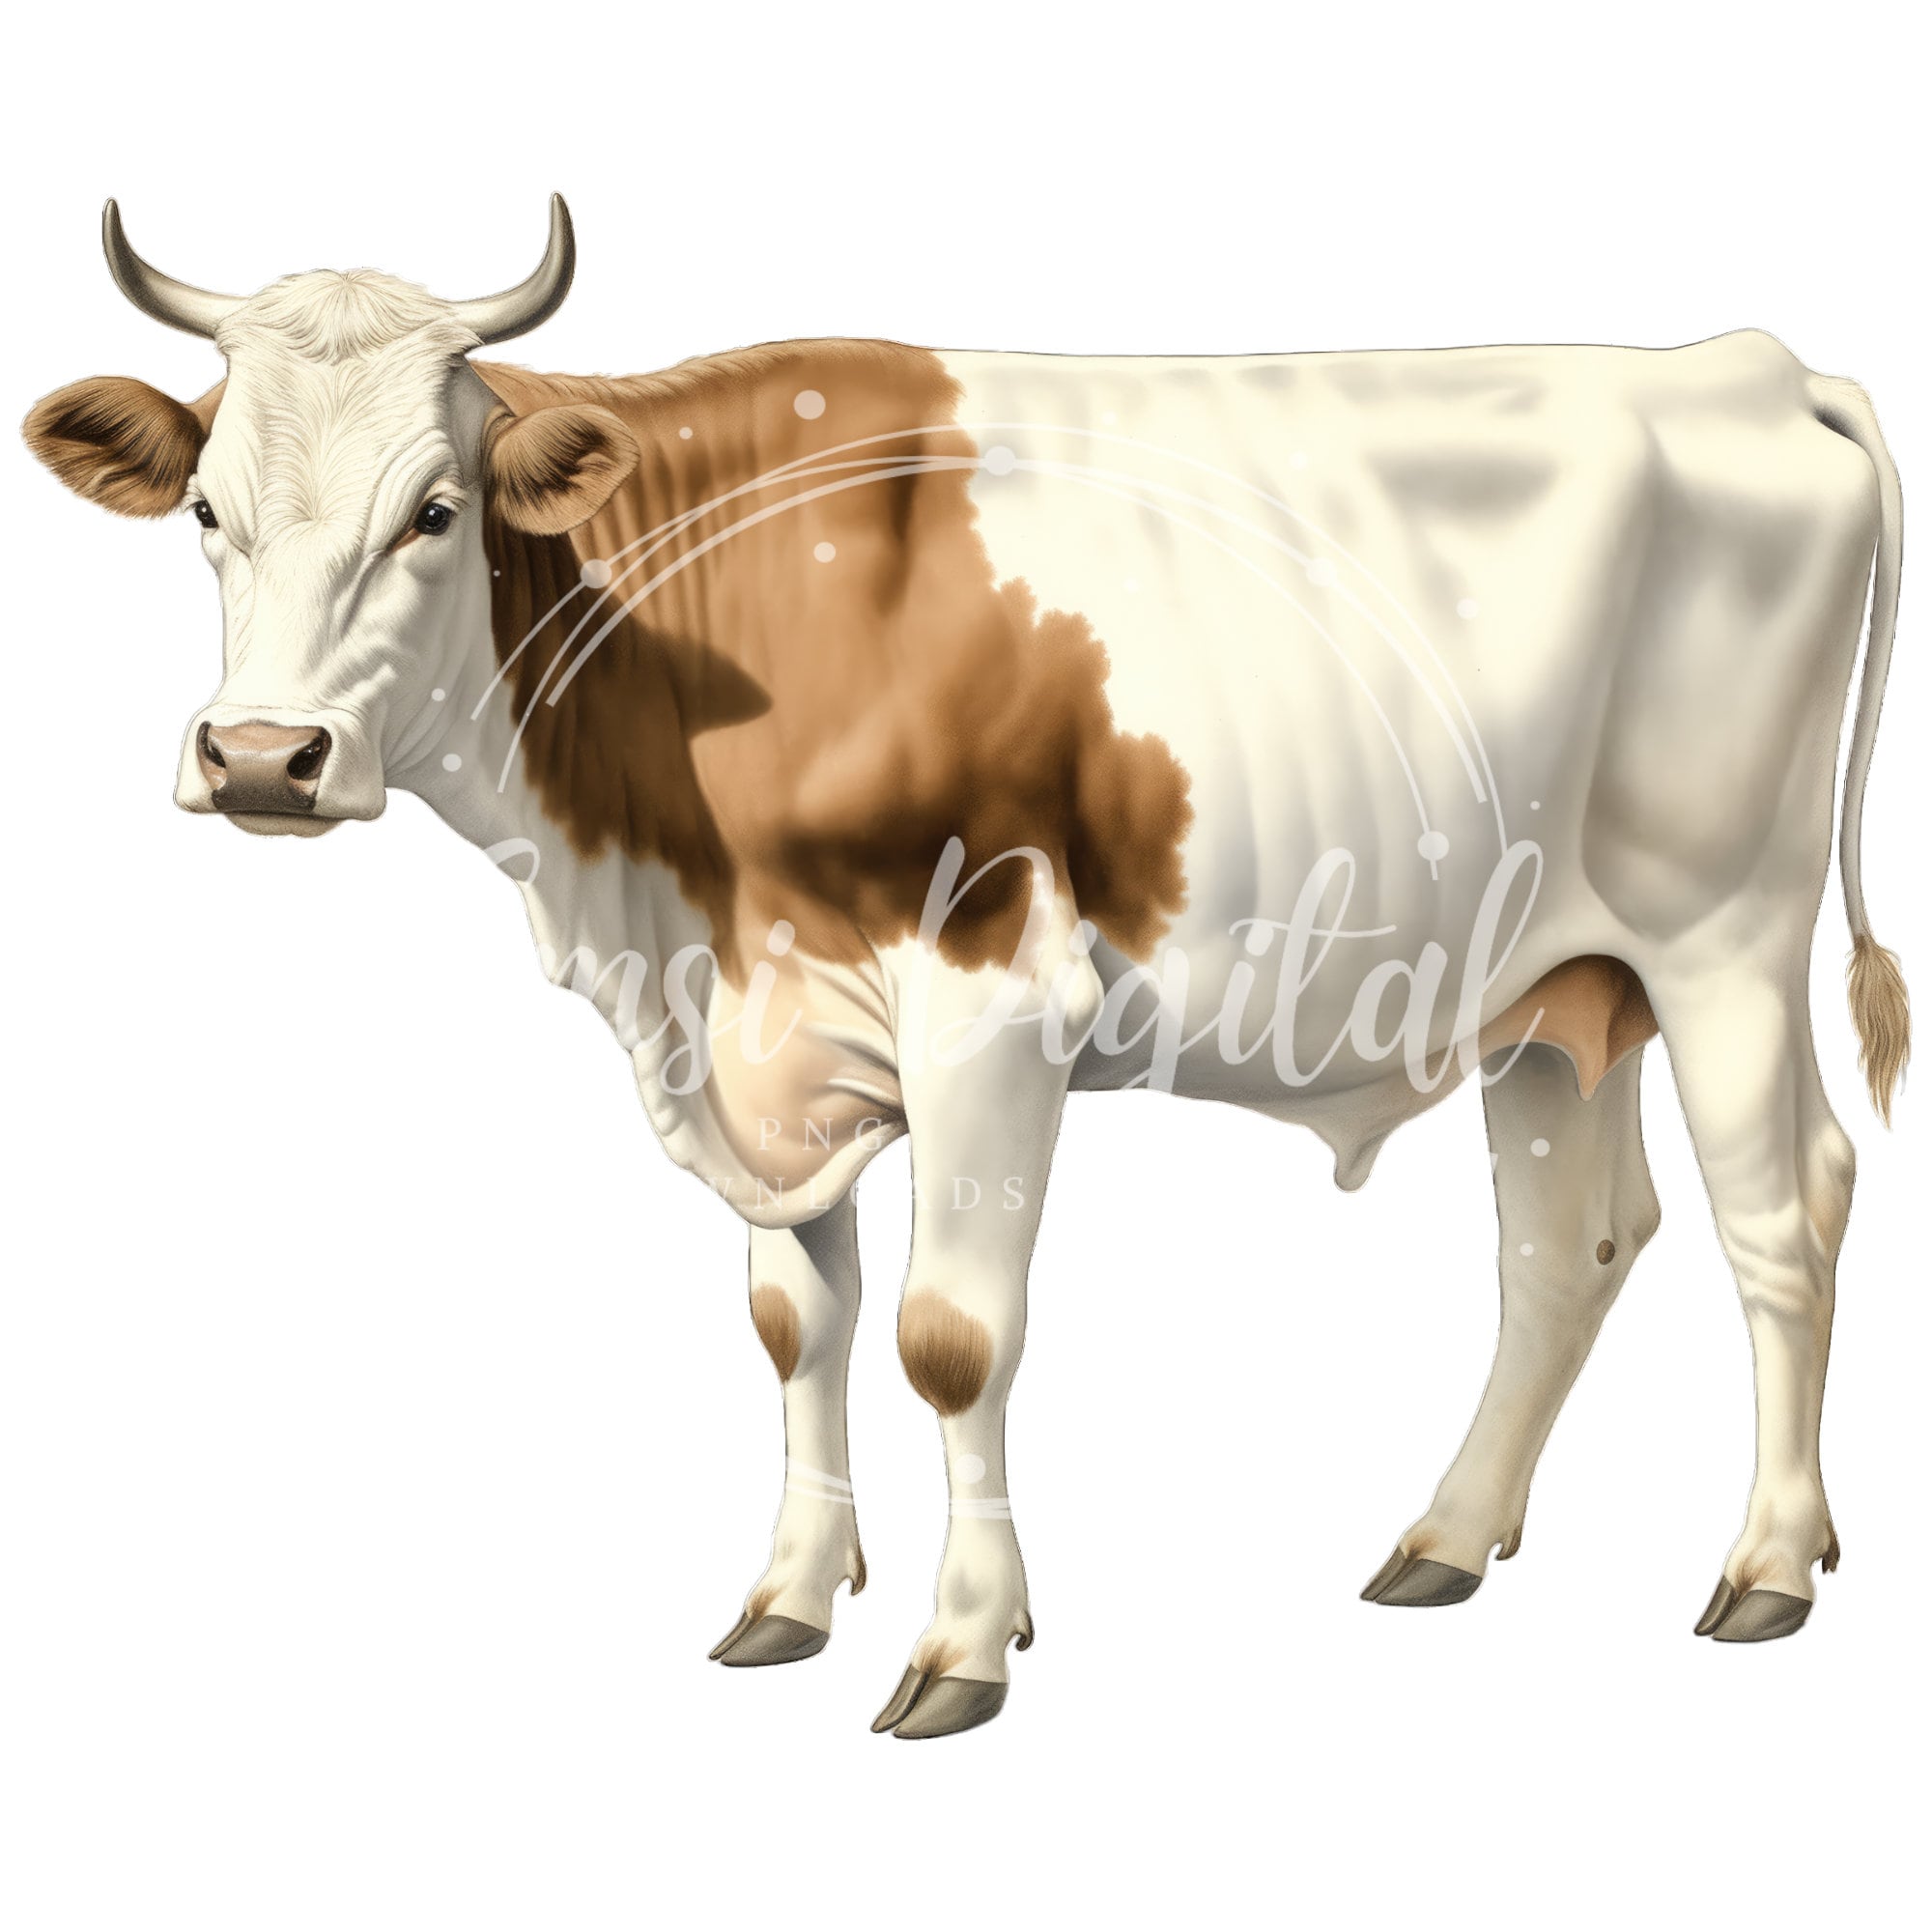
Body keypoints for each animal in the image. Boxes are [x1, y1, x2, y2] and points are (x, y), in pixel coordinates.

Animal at [24, 196, 1908, 1737]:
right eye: (206, 512)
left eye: (431, 511)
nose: (263, 757)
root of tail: (1743, 368)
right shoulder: (770, 1022)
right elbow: (795, 1321)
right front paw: (786, 1604)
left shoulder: (993, 1000)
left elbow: (950, 1337)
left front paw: (960, 1648)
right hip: (1554, 979)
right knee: (1567, 1249)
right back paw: (1444, 1539)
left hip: (1725, 936)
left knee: (1787, 1210)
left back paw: (1767, 1567)